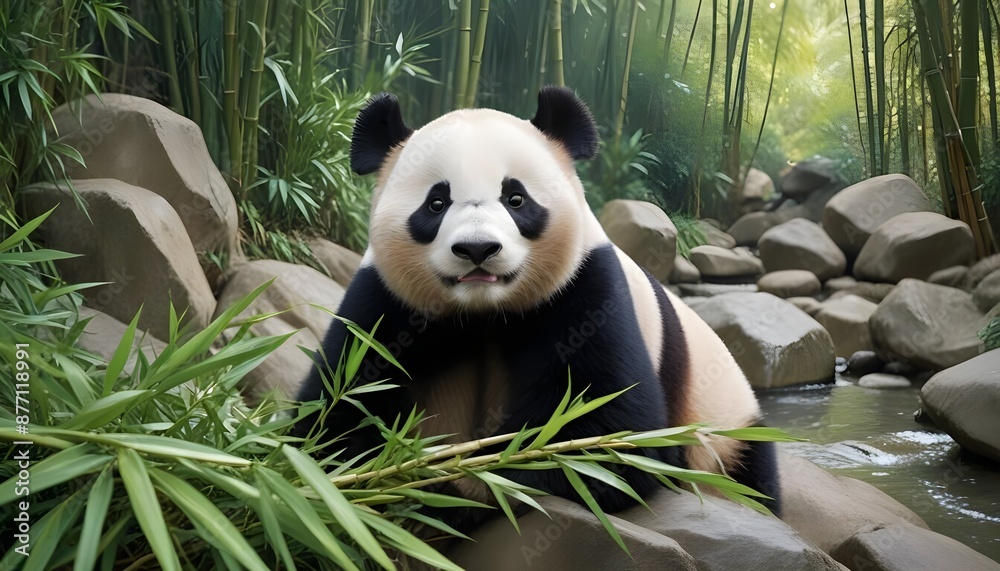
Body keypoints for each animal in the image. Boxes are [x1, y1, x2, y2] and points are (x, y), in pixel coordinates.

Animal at [294, 87, 780, 525]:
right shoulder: (385, 304)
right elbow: (343, 401)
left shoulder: (583, 291)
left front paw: (466, 481)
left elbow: (602, 431)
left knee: (749, 480)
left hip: (725, 424)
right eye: (436, 203)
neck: (482, 314)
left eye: (516, 198)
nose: (477, 249)